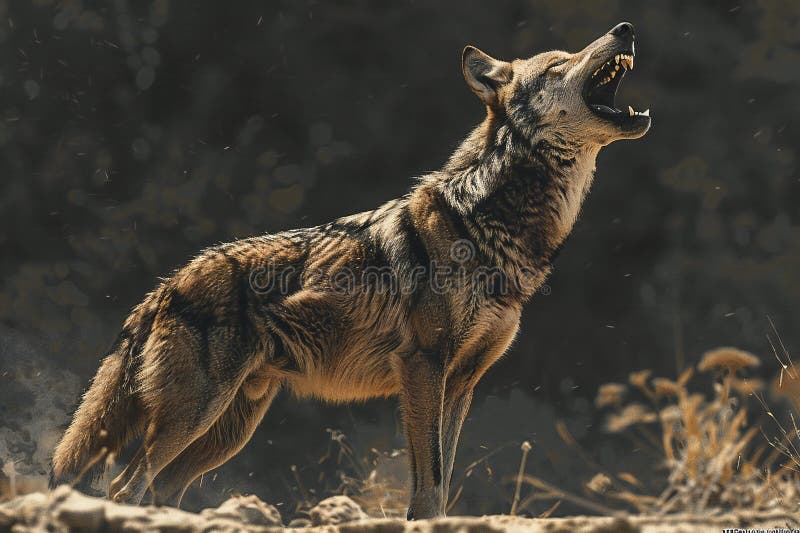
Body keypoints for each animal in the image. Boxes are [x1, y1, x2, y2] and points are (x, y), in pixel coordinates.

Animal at [52, 22, 650, 519]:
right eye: (559, 63)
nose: (625, 27)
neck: (488, 223)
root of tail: (165, 285)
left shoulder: (462, 383)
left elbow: (444, 482)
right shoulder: (423, 368)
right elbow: (430, 484)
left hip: (230, 430)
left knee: (162, 489)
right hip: (196, 415)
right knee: (125, 487)